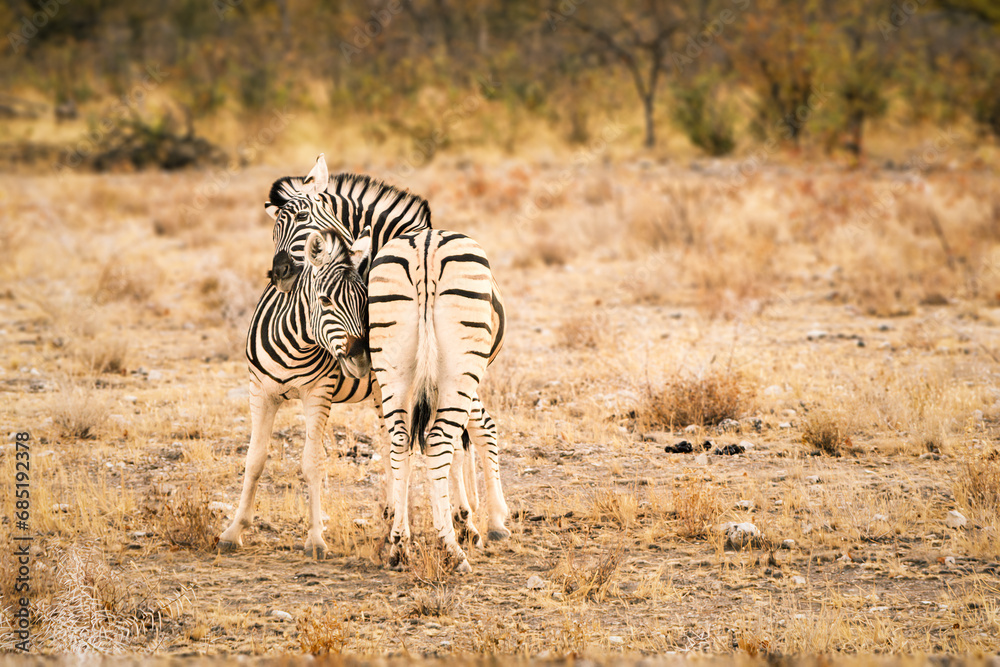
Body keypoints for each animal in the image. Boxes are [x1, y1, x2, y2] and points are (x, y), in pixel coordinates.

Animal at [218, 155, 436, 559]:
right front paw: (234, 530)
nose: (280, 273)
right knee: (393, 444)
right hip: (383, 393)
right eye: (274, 227)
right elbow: (254, 459)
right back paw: (392, 517)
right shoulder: (260, 391)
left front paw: (316, 538)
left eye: (304, 217)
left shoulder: (318, 394)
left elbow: (312, 462)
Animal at [303, 226, 510, 572]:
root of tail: (425, 248)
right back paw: (452, 551)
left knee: (400, 442)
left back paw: (399, 545)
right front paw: (486, 522)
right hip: (460, 368)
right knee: (439, 441)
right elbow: (479, 433)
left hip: (393, 366)